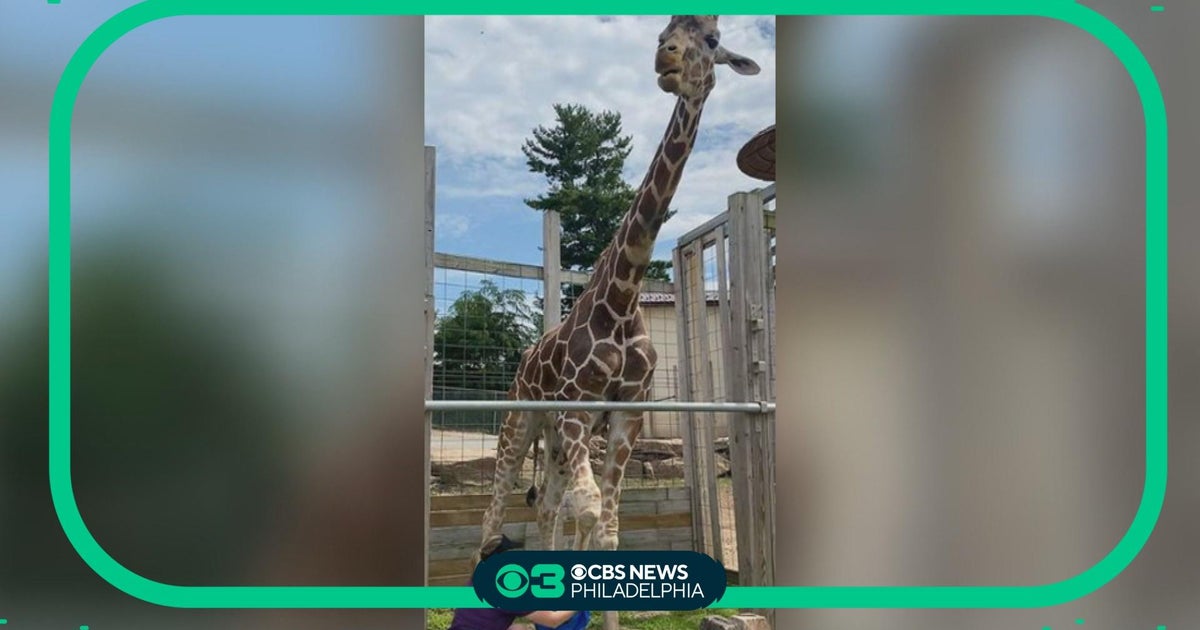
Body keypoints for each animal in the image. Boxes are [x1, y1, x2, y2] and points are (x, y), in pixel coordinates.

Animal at [476, 15, 760, 562]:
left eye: (712, 39)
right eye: (663, 33)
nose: (666, 61)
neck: (625, 297)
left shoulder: (626, 413)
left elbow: (605, 528)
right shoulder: (576, 407)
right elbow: (587, 511)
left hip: (556, 439)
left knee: (547, 506)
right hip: (522, 420)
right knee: (495, 511)